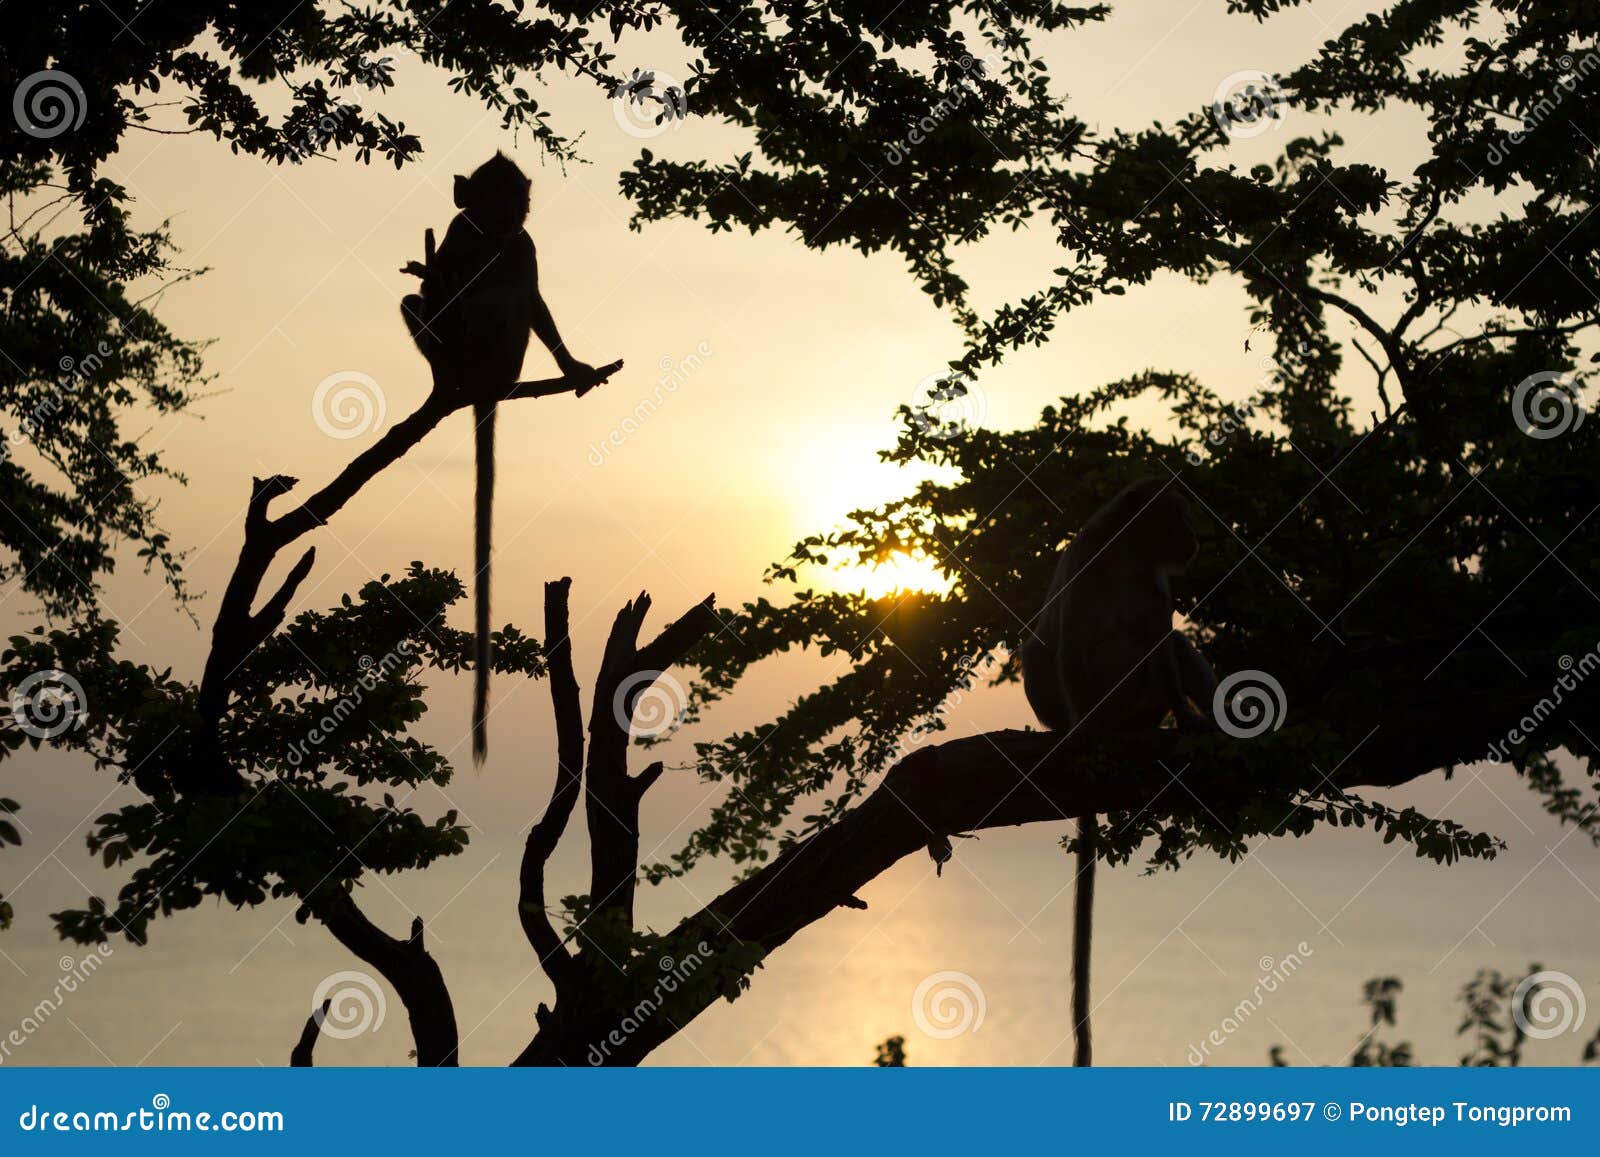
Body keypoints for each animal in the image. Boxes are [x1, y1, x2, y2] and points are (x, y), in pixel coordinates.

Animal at [401, 152, 601, 765]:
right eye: (492, 196)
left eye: (516, 197)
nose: (509, 215)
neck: (491, 238)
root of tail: (486, 384)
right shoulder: (463, 231)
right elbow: (442, 267)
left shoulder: (524, 243)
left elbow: (532, 297)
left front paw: (572, 365)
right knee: (420, 302)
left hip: (498, 350)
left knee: (484, 301)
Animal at [1020, 477, 1218, 1067]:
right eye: (1179, 514)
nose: (1195, 536)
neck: (1124, 543)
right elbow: (1140, 639)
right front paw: (1190, 718)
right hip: (1132, 704)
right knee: (1168, 646)